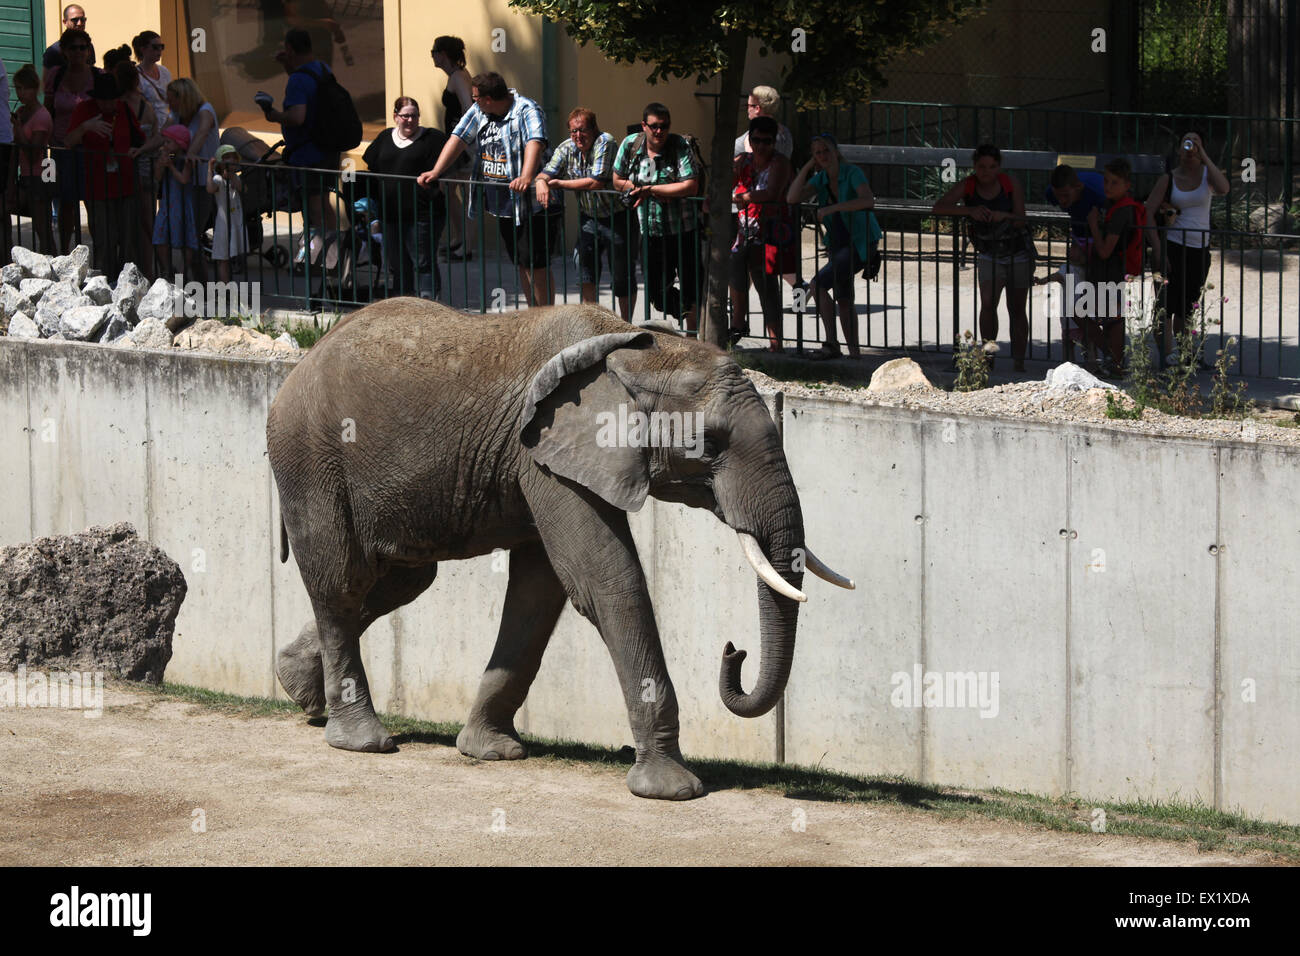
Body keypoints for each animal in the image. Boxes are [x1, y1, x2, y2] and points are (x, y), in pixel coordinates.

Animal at [266, 298, 853, 800]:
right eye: (708, 443)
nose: (734, 651)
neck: (632, 349)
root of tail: (298, 366)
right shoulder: (546, 454)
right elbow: (605, 579)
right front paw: (671, 790)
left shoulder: (545, 460)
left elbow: (540, 591)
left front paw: (491, 752)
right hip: (310, 456)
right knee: (342, 583)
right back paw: (361, 740)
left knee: (401, 581)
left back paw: (300, 690)